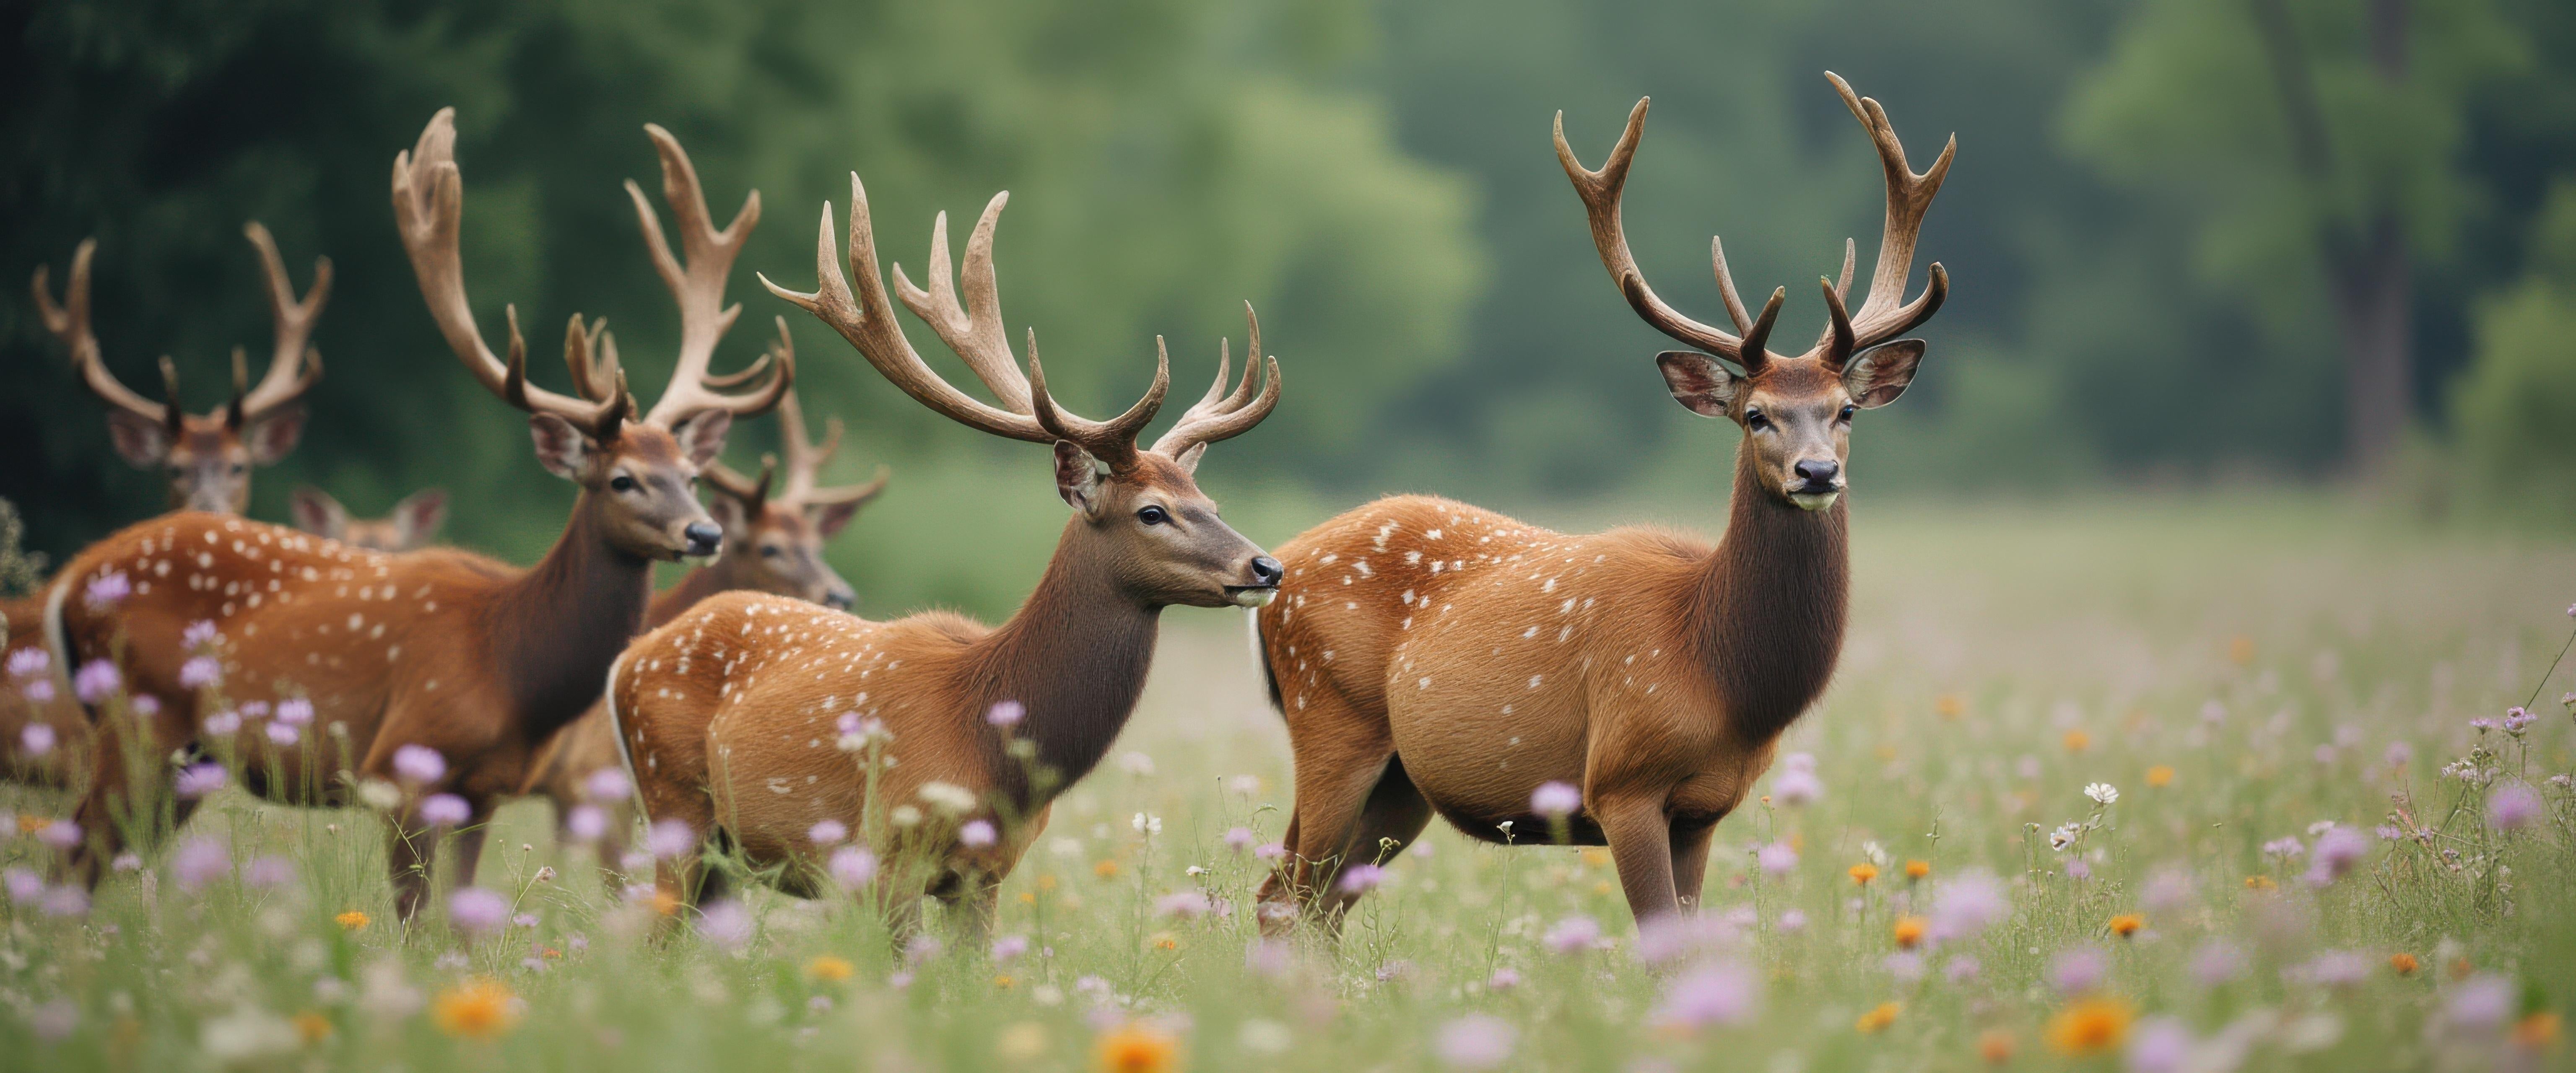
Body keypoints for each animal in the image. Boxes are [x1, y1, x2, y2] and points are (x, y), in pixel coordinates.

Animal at [604, 176, 1282, 936]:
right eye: (1152, 512)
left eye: (1212, 503)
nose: (1266, 568)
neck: (986, 740)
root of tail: (627, 660)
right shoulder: (885, 858)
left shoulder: (986, 876)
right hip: (673, 805)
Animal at [1251, 73, 1950, 932]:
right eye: (1755, 415)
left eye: (1844, 410)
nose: (1816, 473)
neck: (1718, 671)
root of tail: (1277, 571)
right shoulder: (1622, 780)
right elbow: (1659, 942)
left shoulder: (1706, 809)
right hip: (1330, 720)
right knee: (1282, 899)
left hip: (1400, 783)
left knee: (1314, 903)